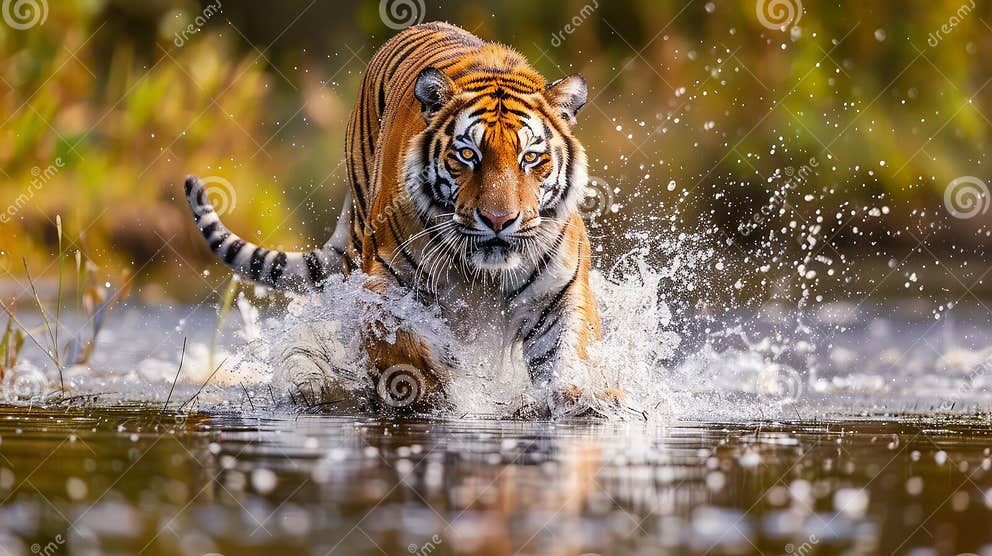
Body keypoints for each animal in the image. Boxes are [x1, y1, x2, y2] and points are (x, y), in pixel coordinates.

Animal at [183, 21, 617, 416]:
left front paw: (584, 399)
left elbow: (570, 354)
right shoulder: (383, 288)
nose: (498, 220)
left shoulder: (559, 292)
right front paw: (437, 391)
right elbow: (404, 350)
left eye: (531, 157)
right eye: (467, 155)